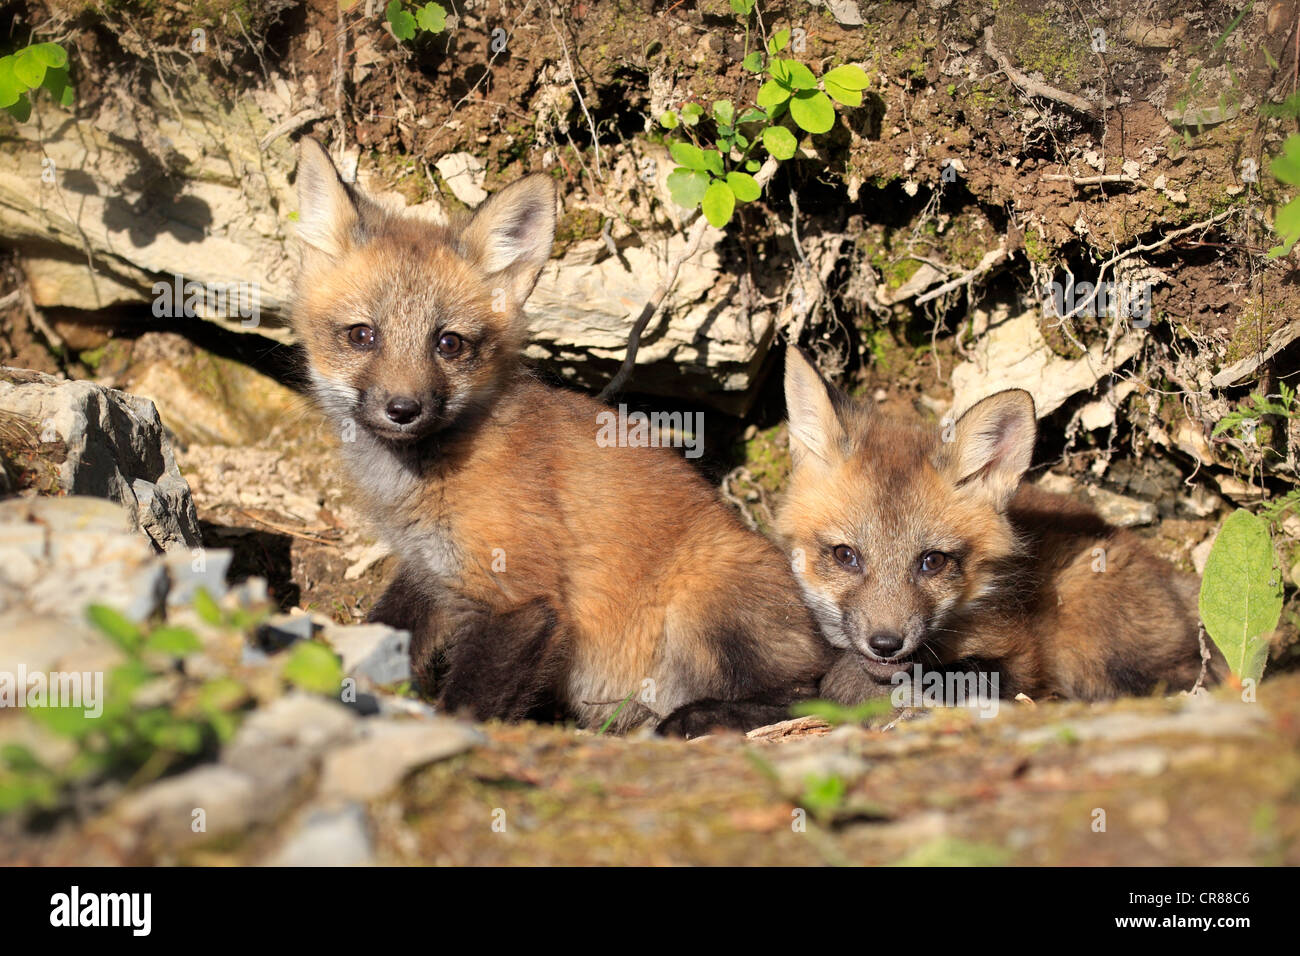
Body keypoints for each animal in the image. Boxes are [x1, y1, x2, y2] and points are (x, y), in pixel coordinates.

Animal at [289, 138, 831, 735]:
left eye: (449, 344)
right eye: (362, 335)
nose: (403, 409)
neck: (422, 480)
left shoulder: (518, 597)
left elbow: (468, 702)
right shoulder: (428, 570)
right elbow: (379, 633)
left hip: (704, 601)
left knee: (809, 693)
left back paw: (698, 718)